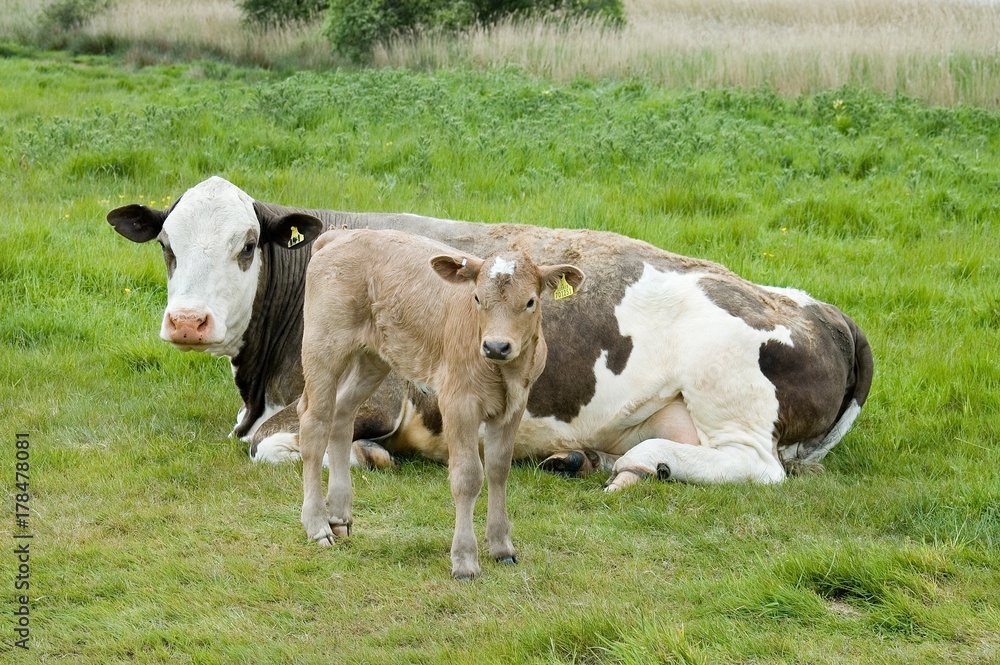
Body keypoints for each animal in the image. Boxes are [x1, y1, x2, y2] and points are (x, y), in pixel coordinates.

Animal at [107, 176, 873, 489]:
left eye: (246, 246)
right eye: (168, 247)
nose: (188, 321)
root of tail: (823, 310)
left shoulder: (376, 396)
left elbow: (274, 446)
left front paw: (361, 457)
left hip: (728, 395)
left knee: (754, 466)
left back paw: (642, 463)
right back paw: (579, 459)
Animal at [298, 228, 584, 577]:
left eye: (530, 302)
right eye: (477, 299)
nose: (496, 346)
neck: (503, 373)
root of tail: (341, 234)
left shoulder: (515, 405)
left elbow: (499, 468)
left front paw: (502, 546)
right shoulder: (458, 402)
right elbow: (467, 475)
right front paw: (464, 560)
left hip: (373, 357)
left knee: (342, 415)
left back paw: (339, 515)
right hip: (323, 344)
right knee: (314, 422)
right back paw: (317, 525)